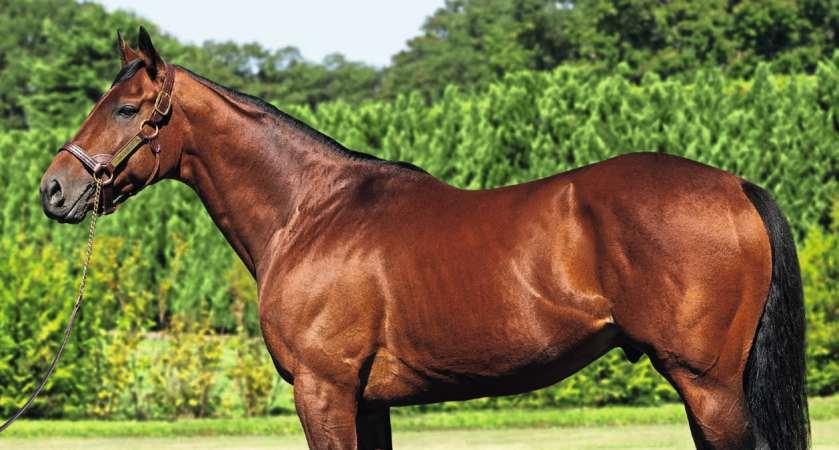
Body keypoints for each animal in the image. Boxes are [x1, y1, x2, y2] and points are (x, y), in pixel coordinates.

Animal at [39, 28, 808, 450]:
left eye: (127, 109)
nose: (53, 189)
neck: (309, 211)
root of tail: (734, 186)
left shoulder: (323, 392)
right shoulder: (366, 401)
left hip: (706, 385)